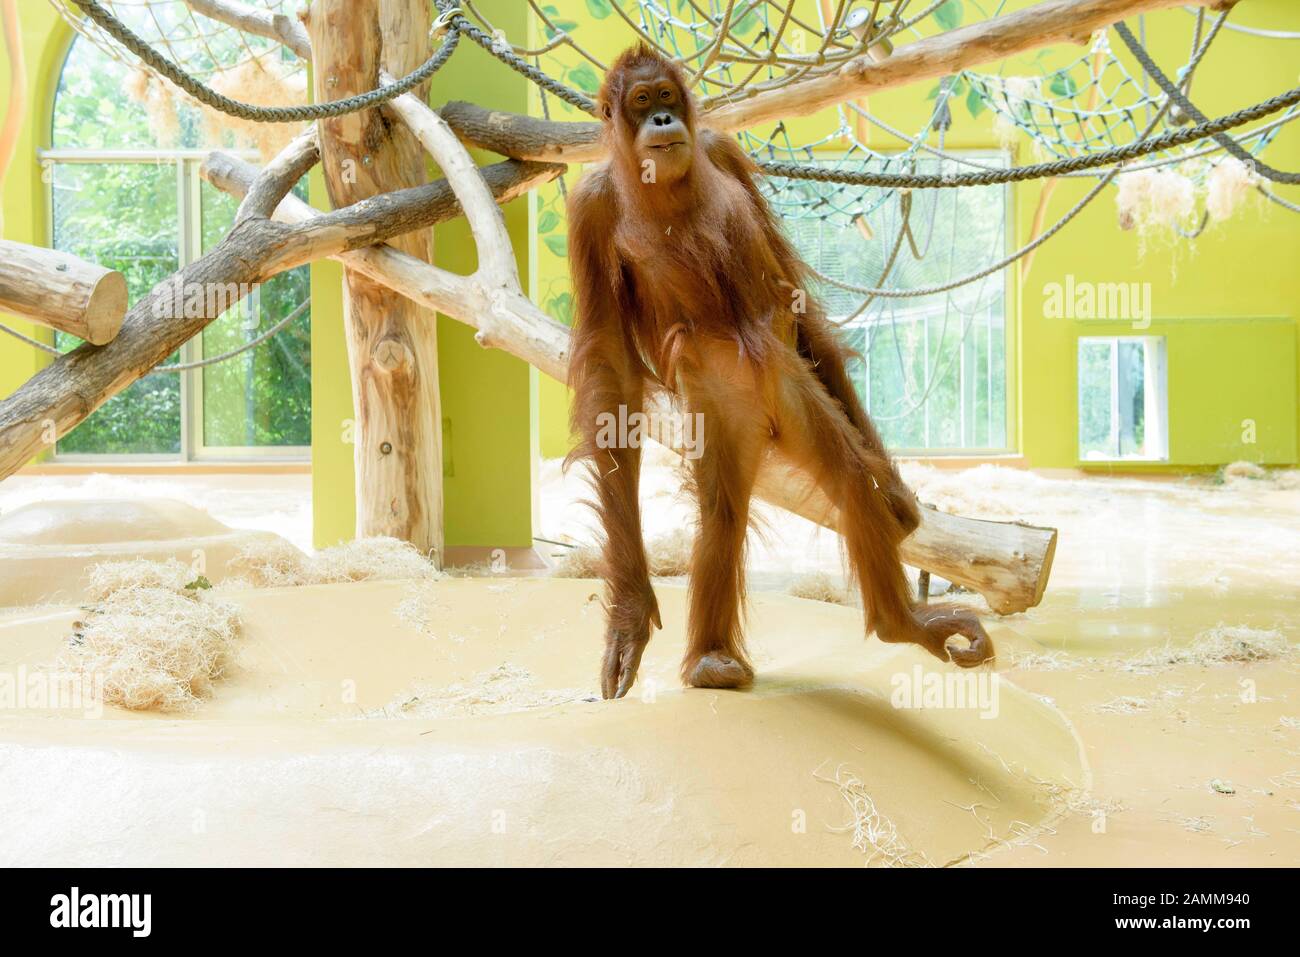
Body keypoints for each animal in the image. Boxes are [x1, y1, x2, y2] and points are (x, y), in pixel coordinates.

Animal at [565, 44, 992, 699]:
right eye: (640, 102)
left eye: (666, 96)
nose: (663, 120)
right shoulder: (588, 209)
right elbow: (612, 371)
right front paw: (630, 619)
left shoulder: (721, 149)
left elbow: (792, 289)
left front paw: (898, 499)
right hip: (721, 410)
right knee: (720, 511)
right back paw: (712, 660)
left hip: (792, 389)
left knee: (846, 472)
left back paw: (901, 624)